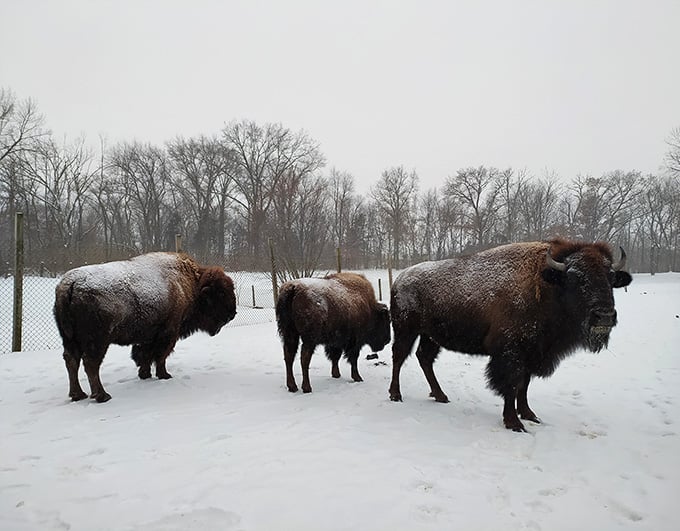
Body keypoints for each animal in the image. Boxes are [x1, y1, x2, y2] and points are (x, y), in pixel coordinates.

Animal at [54, 252, 237, 402]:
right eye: (221, 293)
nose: (232, 313)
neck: (191, 284)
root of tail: (70, 284)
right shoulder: (168, 333)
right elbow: (160, 356)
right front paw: (164, 375)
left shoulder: (148, 336)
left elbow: (145, 355)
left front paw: (145, 375)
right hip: (98, 341)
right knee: (91, 363)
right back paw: (102, 396)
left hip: (70, 339)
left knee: (72, 361)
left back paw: (78, 395)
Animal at [388, 238, 632, 431]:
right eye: (574, 278)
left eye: (611, 278)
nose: (604, 316)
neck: (546, 286)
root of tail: (400, 278)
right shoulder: (510, 354)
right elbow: (511, 385)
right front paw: (514, 423)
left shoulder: (532, 354)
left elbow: (524, 386)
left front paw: (529, 414)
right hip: (405, 330)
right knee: (399, 357)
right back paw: (396, 395)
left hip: (430, 335)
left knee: (424, 358)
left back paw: (441, 396)